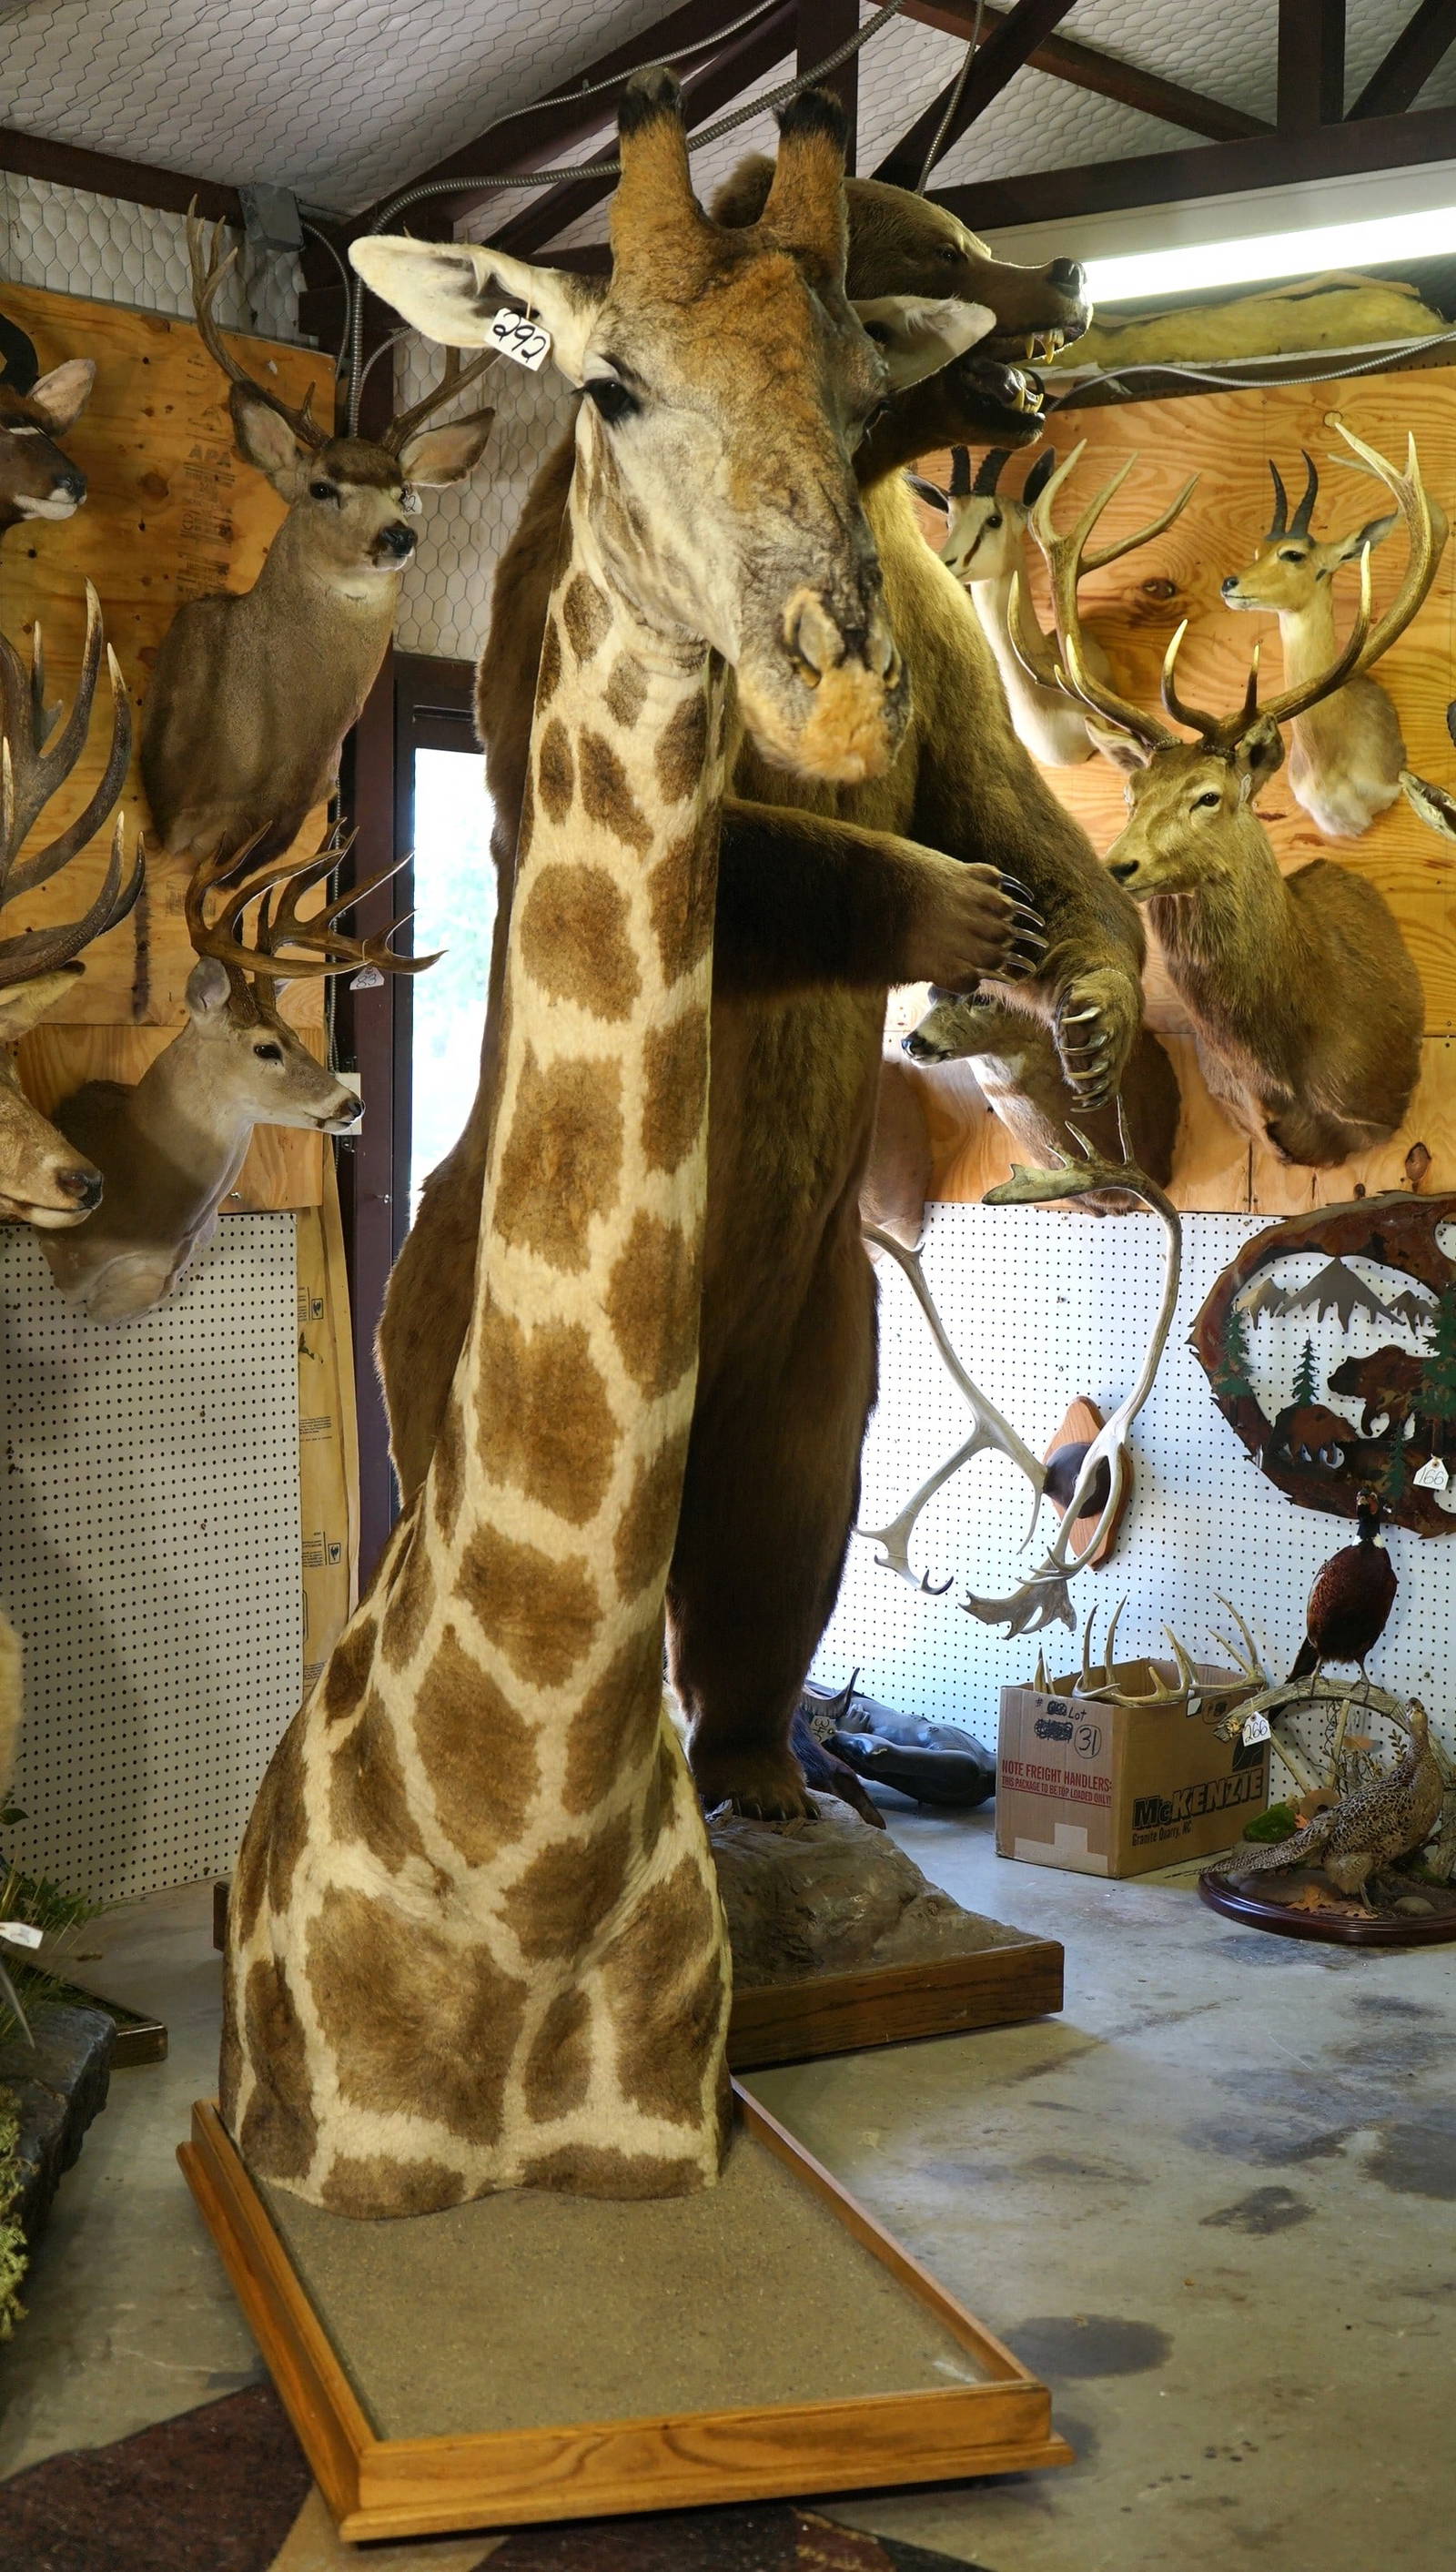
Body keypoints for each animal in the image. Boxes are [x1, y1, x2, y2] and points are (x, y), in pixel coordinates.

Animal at [221, 73, 1007, 2218]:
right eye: (610, 386)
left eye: (858, 386)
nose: (838, 668)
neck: (520, 1841)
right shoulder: (315, 2158)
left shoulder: (672, 2142)